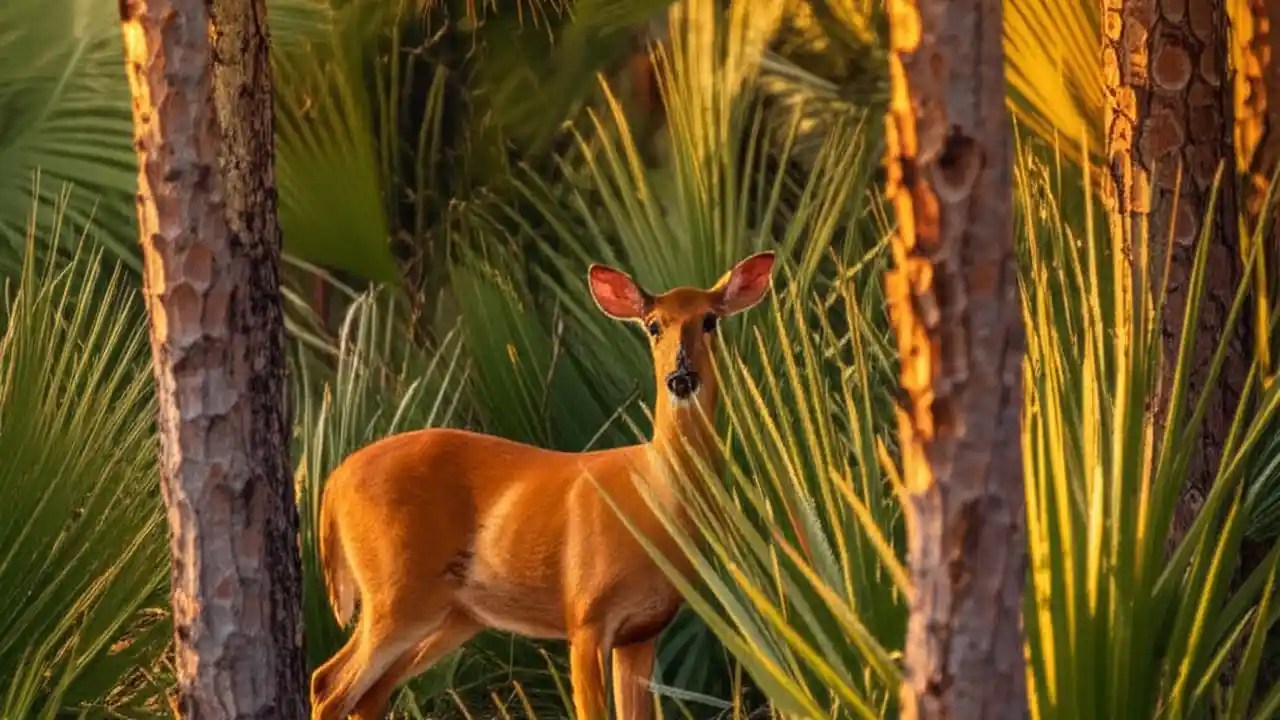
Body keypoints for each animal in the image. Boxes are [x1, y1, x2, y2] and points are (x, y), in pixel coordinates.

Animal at [309, 252, 776, 720]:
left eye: (710, 320)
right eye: (653, 324)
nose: (681, 378)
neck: (655, 500)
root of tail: (334, 480)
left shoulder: (643, 630)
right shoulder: (586, 615)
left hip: (455, 613)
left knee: (369, 692)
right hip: (396, 590)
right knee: (328, 682)